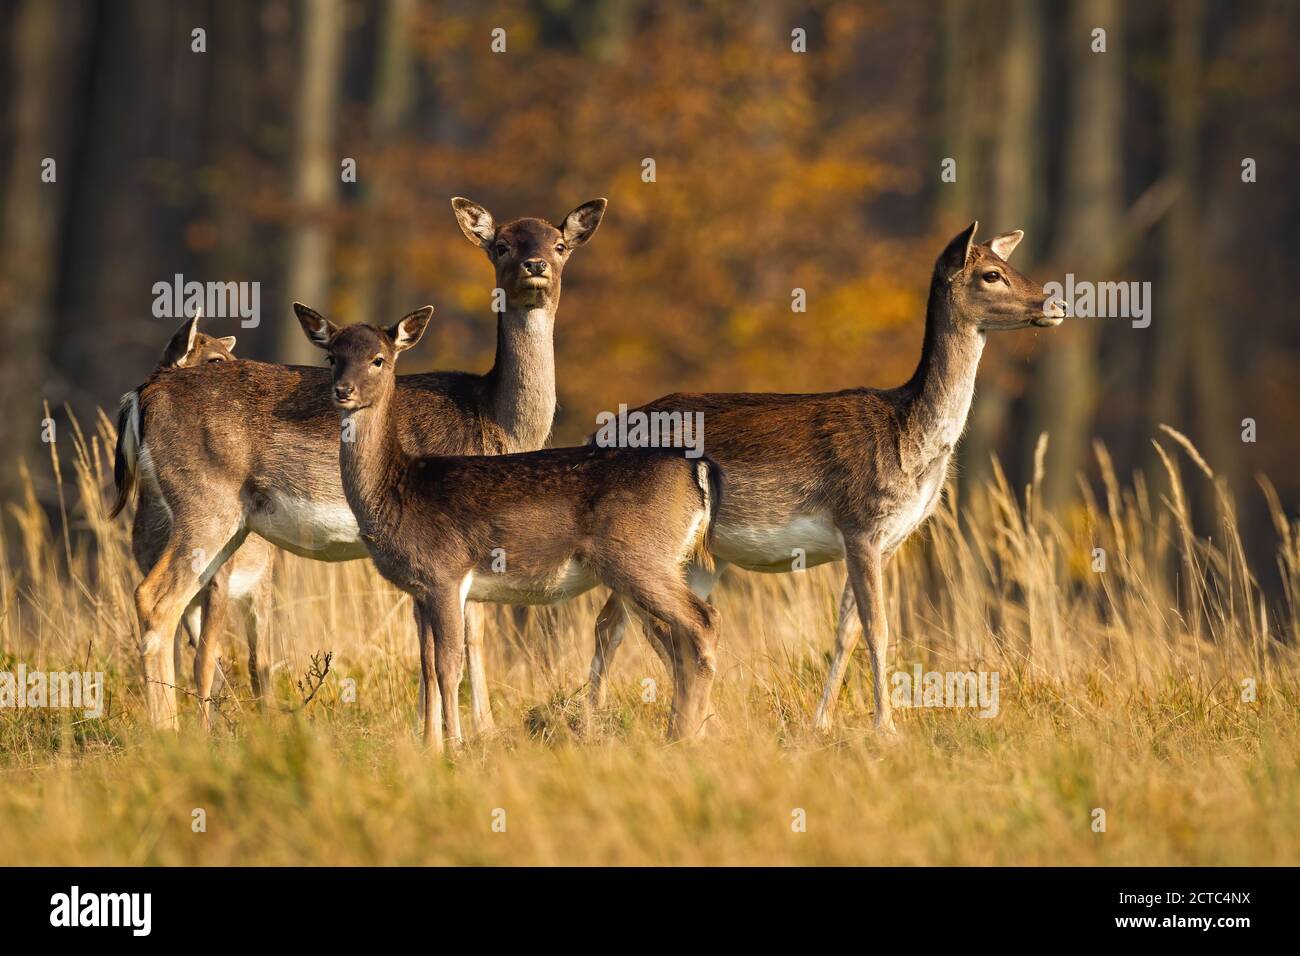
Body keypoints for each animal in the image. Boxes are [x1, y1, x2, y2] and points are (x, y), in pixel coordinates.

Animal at [113, 314, 276, 725]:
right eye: (215, 360)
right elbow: (197, 660)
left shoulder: (220, 579)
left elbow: (205, 663)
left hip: (259, 584)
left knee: (261, 661)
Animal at [296, 304, 723, 747]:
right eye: (332, 356)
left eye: (378, 359)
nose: (342, 390)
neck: (399, 489)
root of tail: (699, 468)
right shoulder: (419, 587)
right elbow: (427, 665)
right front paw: (429, 745)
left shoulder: (445, 571)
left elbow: (450, 666)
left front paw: (455, 745)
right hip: (656, 562)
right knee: (680, 638)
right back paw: (681, 731)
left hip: (640, 556)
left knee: (703, 623)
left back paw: (684, 736)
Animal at [584, 223, 1066, 733]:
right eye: (992, 274)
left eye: (1011, 264)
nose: (1055, 303)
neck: (909, 439)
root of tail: (597, 435)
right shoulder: (861, 522)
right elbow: (879, 628)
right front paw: (886, 728)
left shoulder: (889, 540)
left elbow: (847, 631)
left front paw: (822, 723)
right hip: (644, 534)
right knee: (617, 623)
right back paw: (599, 721)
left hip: (695, 557)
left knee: (643, 622)